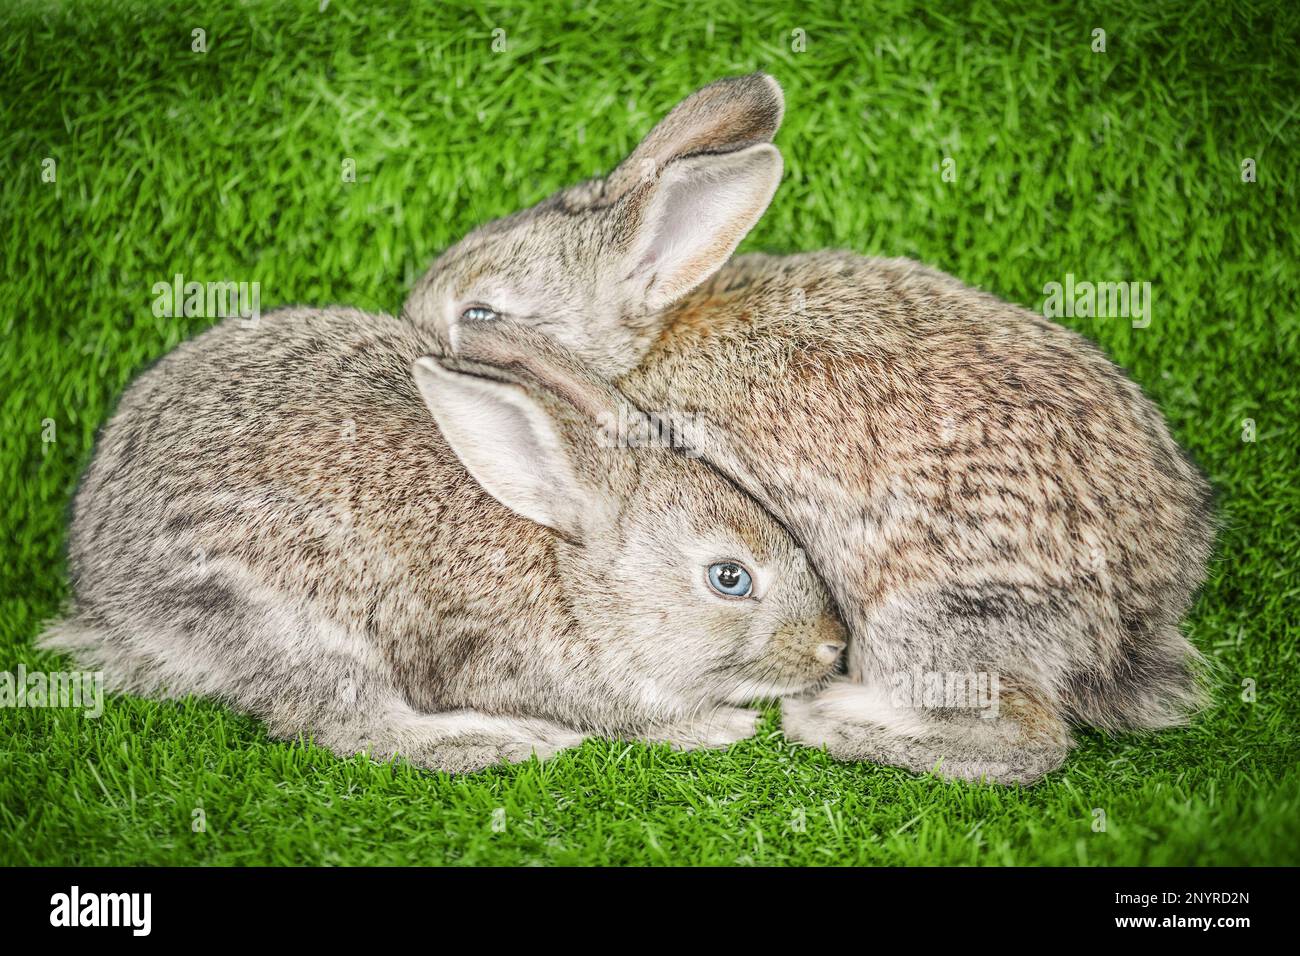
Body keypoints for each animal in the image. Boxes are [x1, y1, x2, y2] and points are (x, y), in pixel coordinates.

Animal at [38, 307, 847, 774]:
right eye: (729, 578)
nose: (833, 645)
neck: (572, 578)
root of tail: (107, 607)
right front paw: (717, 729)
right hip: (288, 619)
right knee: (347, 728)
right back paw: (503, 742)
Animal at [402, 73, 1216, 784]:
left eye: (479, 315)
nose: (406, 337)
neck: (651, 338)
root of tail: (1130, 627)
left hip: (927, 617)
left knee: (1026, 739)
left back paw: (830, 718)